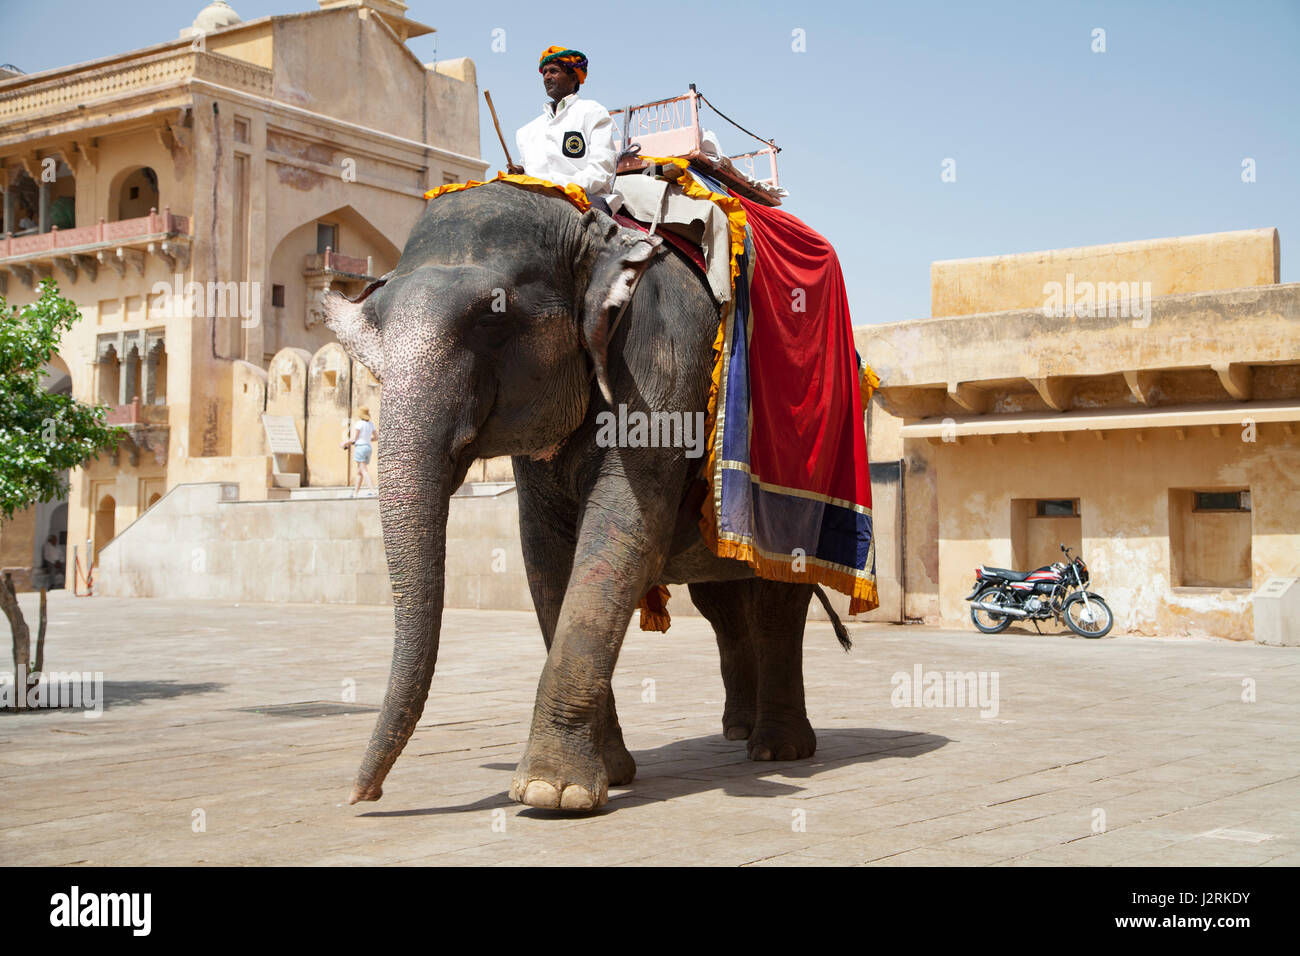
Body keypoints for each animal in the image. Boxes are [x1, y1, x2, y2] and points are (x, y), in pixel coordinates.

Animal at [324, 181, 851, 812]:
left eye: (491, 320)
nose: (363, 795)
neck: (589, 229)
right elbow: (545, 556)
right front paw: (610, 776)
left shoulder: (659, 365)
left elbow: (619, 541)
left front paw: (552, 793)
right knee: (720, 602)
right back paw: (737, 731)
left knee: (776, 600)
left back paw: (778, 750)